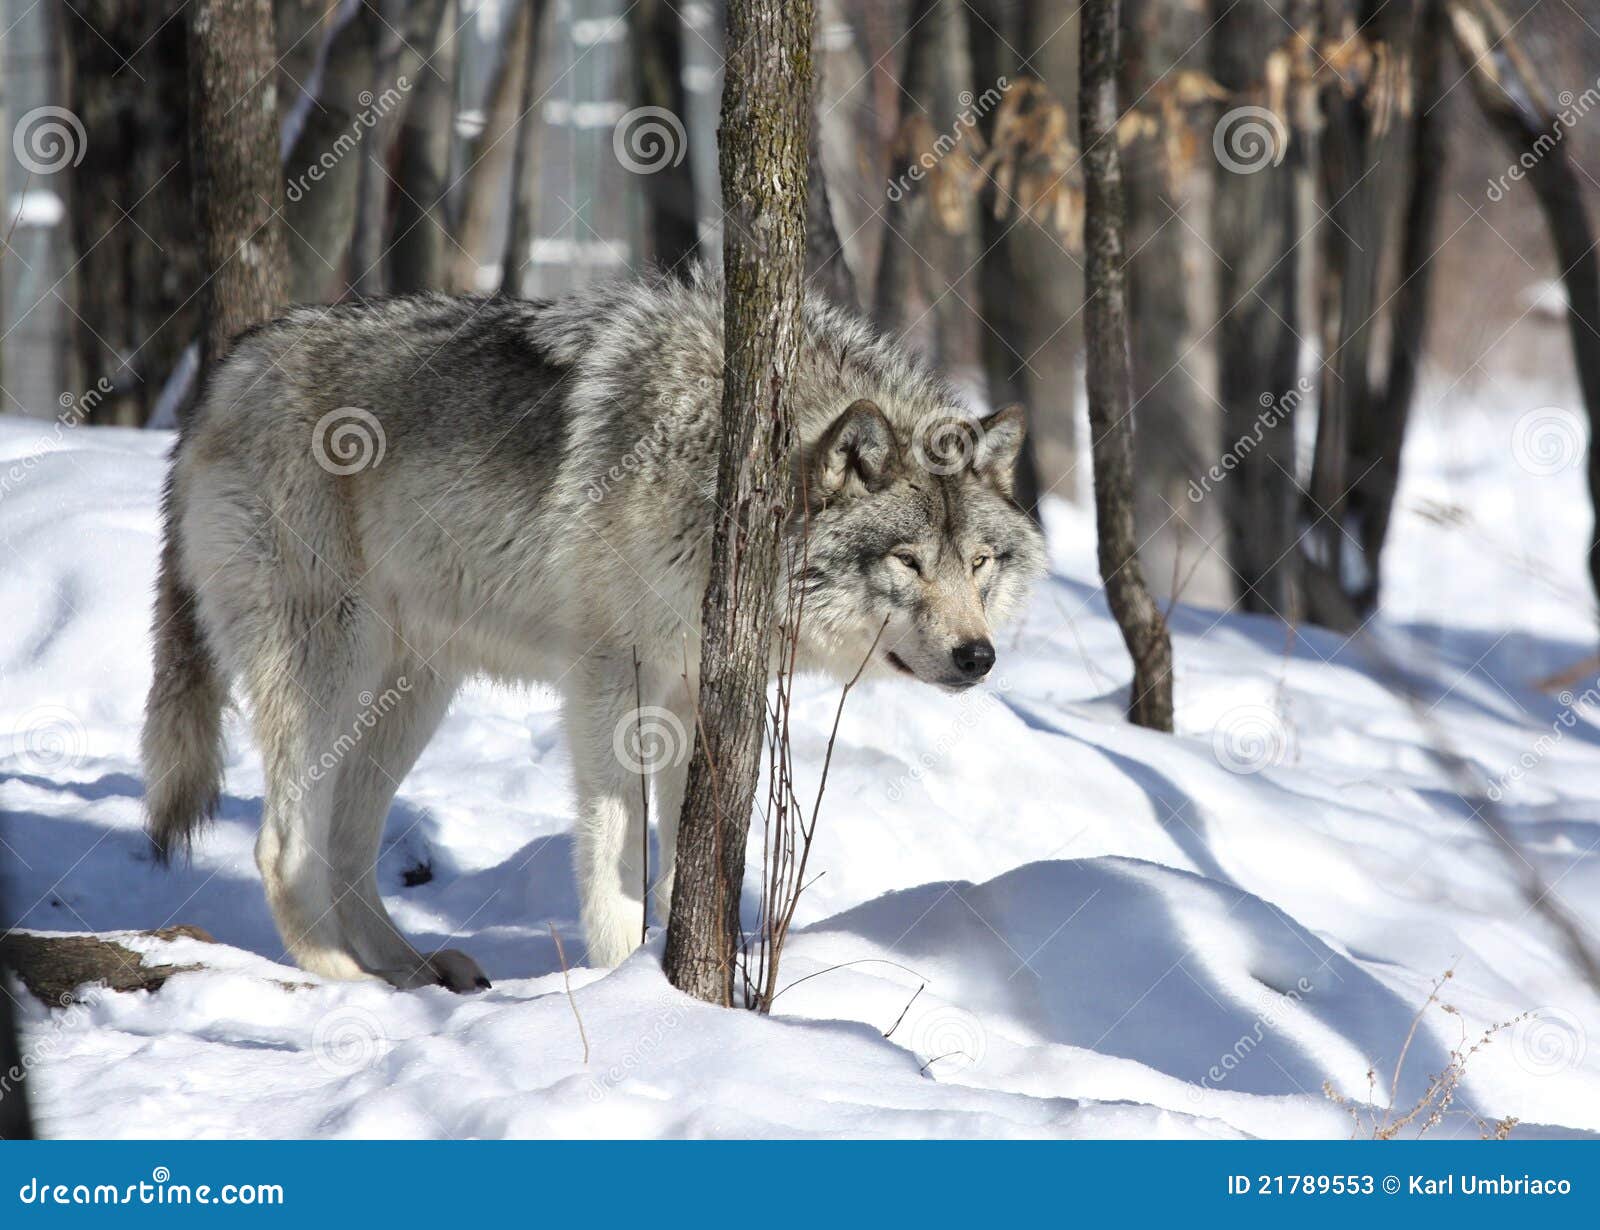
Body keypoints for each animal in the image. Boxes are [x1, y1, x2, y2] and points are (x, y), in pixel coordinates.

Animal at [141, 269, 1046, 990]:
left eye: (979, 563)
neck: (718, 474)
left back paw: (411, 971)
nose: (978, 657)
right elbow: (618, 865)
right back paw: (343, 978)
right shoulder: (612, 680)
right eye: (907, 561)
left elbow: (691, 863)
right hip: (327, 669)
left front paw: (691, 978)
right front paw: (625, 985)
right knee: (284, 845)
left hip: (411, 694)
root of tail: (227, 372)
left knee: (347, 845)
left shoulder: (702, 694)